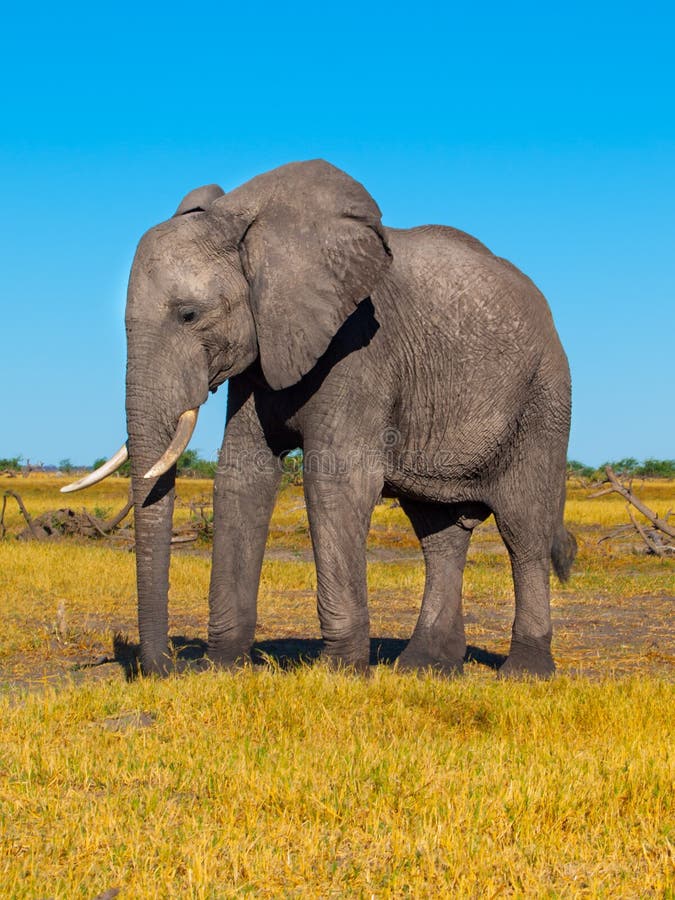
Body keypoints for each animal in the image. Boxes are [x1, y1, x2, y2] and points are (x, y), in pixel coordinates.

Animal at [63, 159, 576, 677]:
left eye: (188, 314)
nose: (170, 668)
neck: (246, 222)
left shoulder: (359, 347)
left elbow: (334, 481)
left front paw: (340, 675)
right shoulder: (262, 345)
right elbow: (243, 475)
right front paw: (225, 668)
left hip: (543, 398)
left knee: (523, 528)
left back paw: (524, 673)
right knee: (439, 533)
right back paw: (422, 667)